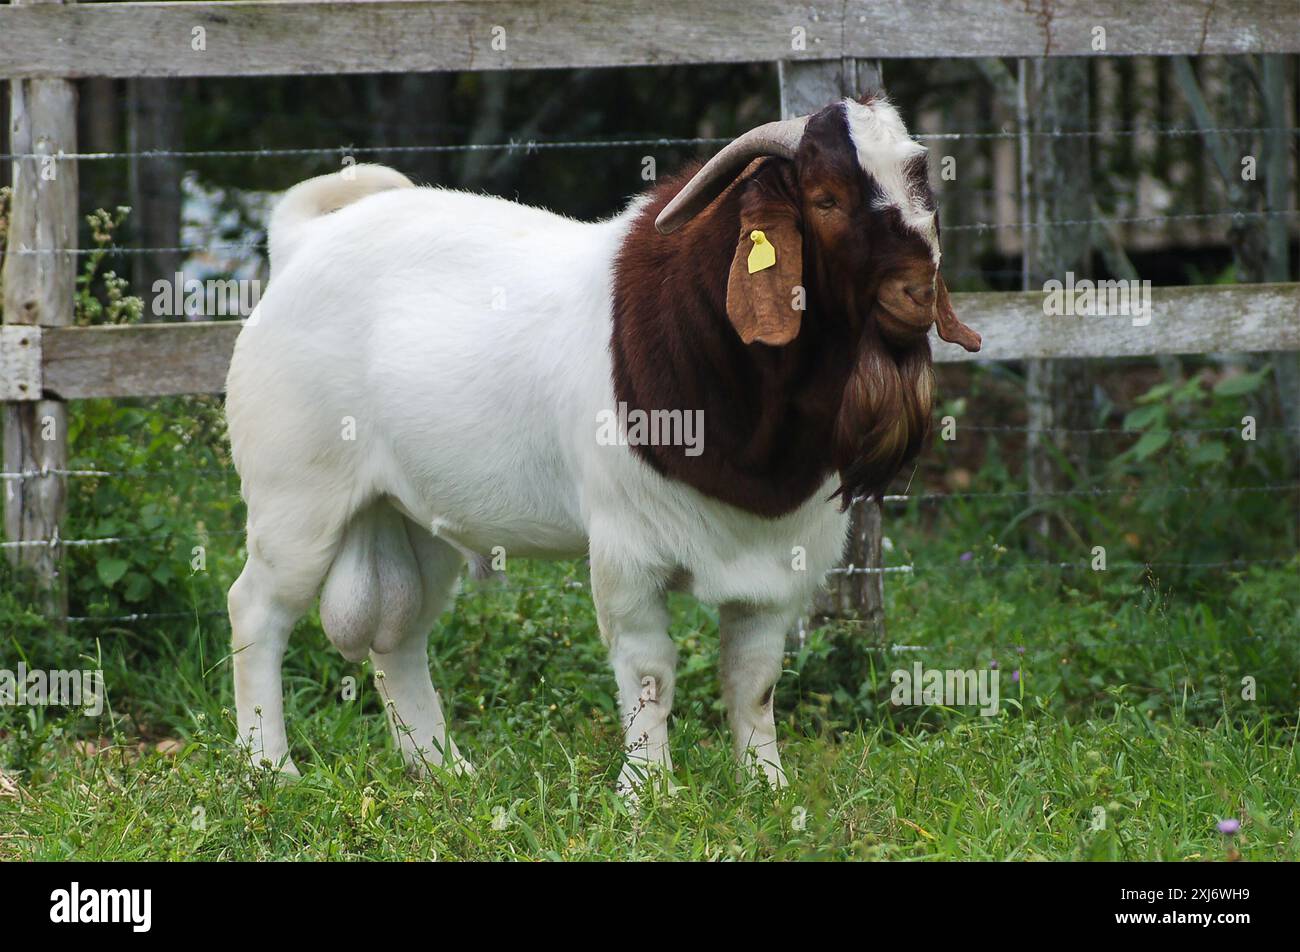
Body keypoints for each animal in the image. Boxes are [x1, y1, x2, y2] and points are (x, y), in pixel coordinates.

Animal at [225, 92, 981, 791]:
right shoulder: (627, 546)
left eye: (923, 186)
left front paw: (765, 786)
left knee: (399, 634)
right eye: (825, 197)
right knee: (256, 609)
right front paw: (647, 792)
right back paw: (269, 768)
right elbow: (650, 671)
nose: (917, 295)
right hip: (295, 501)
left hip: (413, 516)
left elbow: (754, 677)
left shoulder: (784, 559)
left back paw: (444, 771)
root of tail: (300, 245)